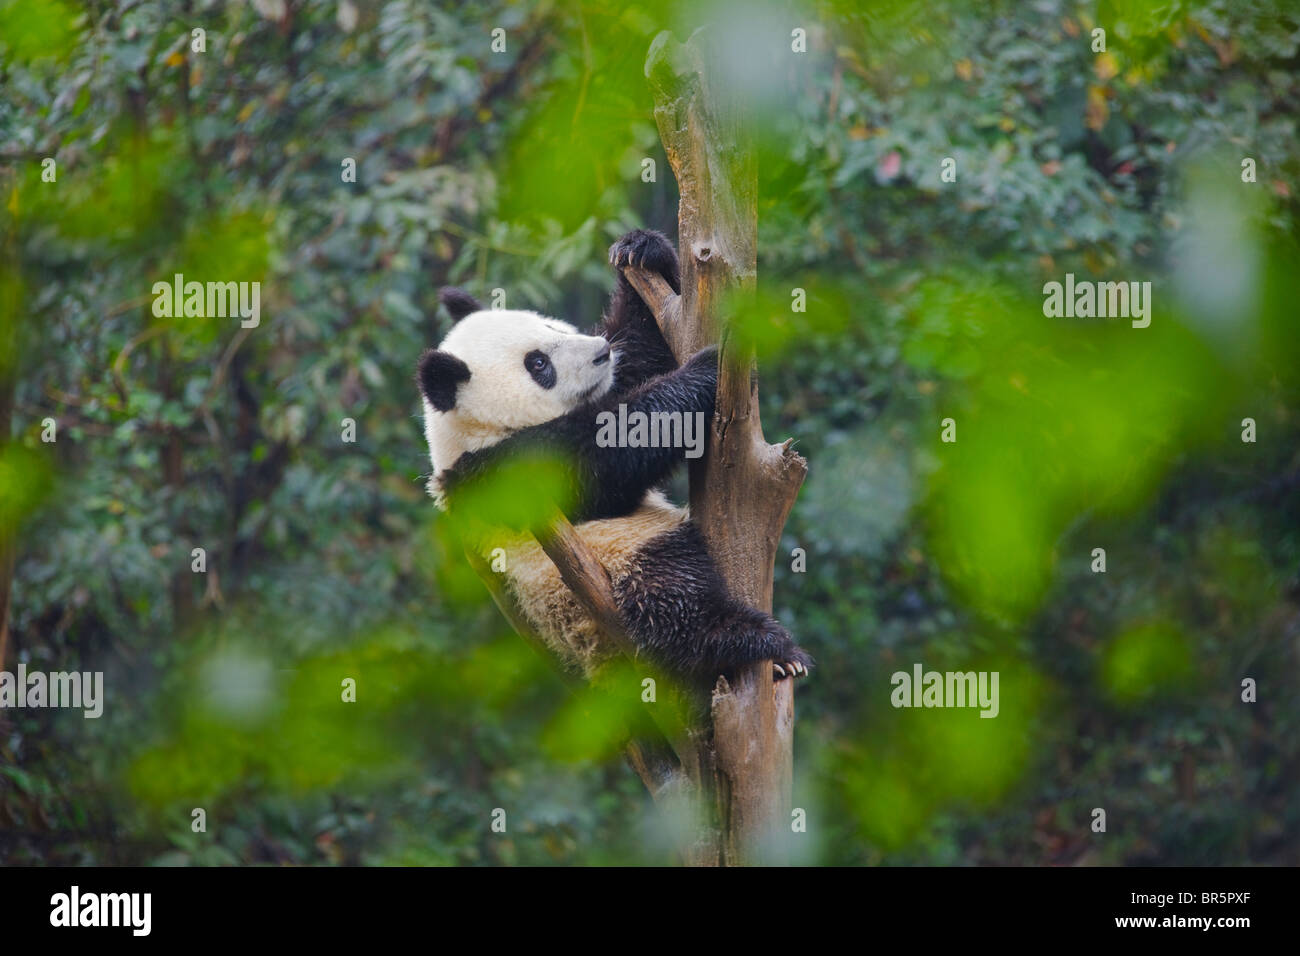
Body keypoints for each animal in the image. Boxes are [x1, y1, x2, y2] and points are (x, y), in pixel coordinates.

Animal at [417, 228, 812, 687]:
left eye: (547, 324)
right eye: (539, 364)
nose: (601, 352)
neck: (475, 433)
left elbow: (640, 355)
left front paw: (640, 250)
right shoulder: (508, 474)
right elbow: (610, 455)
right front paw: (708, 369)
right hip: (597, 575)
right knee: (668, 598)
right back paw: (758, 644)